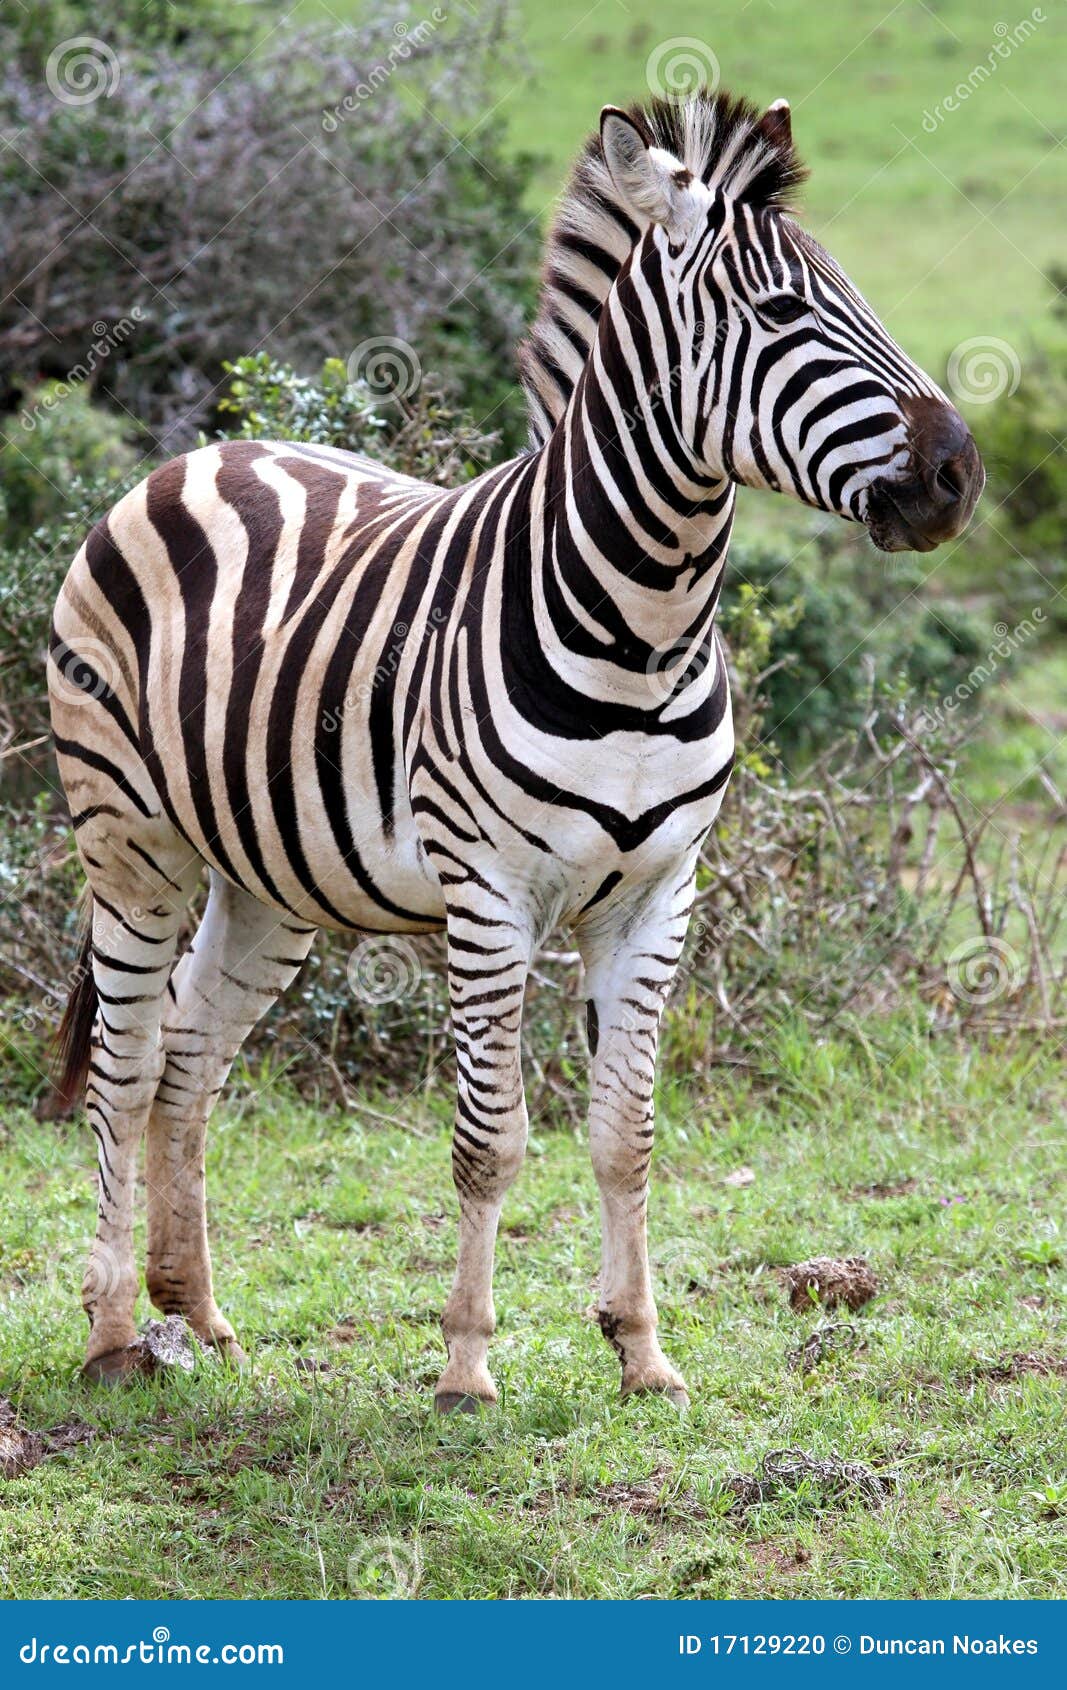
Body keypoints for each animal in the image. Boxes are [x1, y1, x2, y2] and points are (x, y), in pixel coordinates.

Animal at [49, 88, 982, 1409]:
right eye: (778, 312)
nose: (956, 474)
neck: (644, 629)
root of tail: (200, 453)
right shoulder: (489, 894)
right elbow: (489, 1142)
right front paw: (465, 1364)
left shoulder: (657, 894)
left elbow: (624, 1134)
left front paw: (642, 1352)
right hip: (130, 841)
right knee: (124, 1066)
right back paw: (112, 1334)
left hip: (266, 876)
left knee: (189, 1054)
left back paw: (202, 1316)